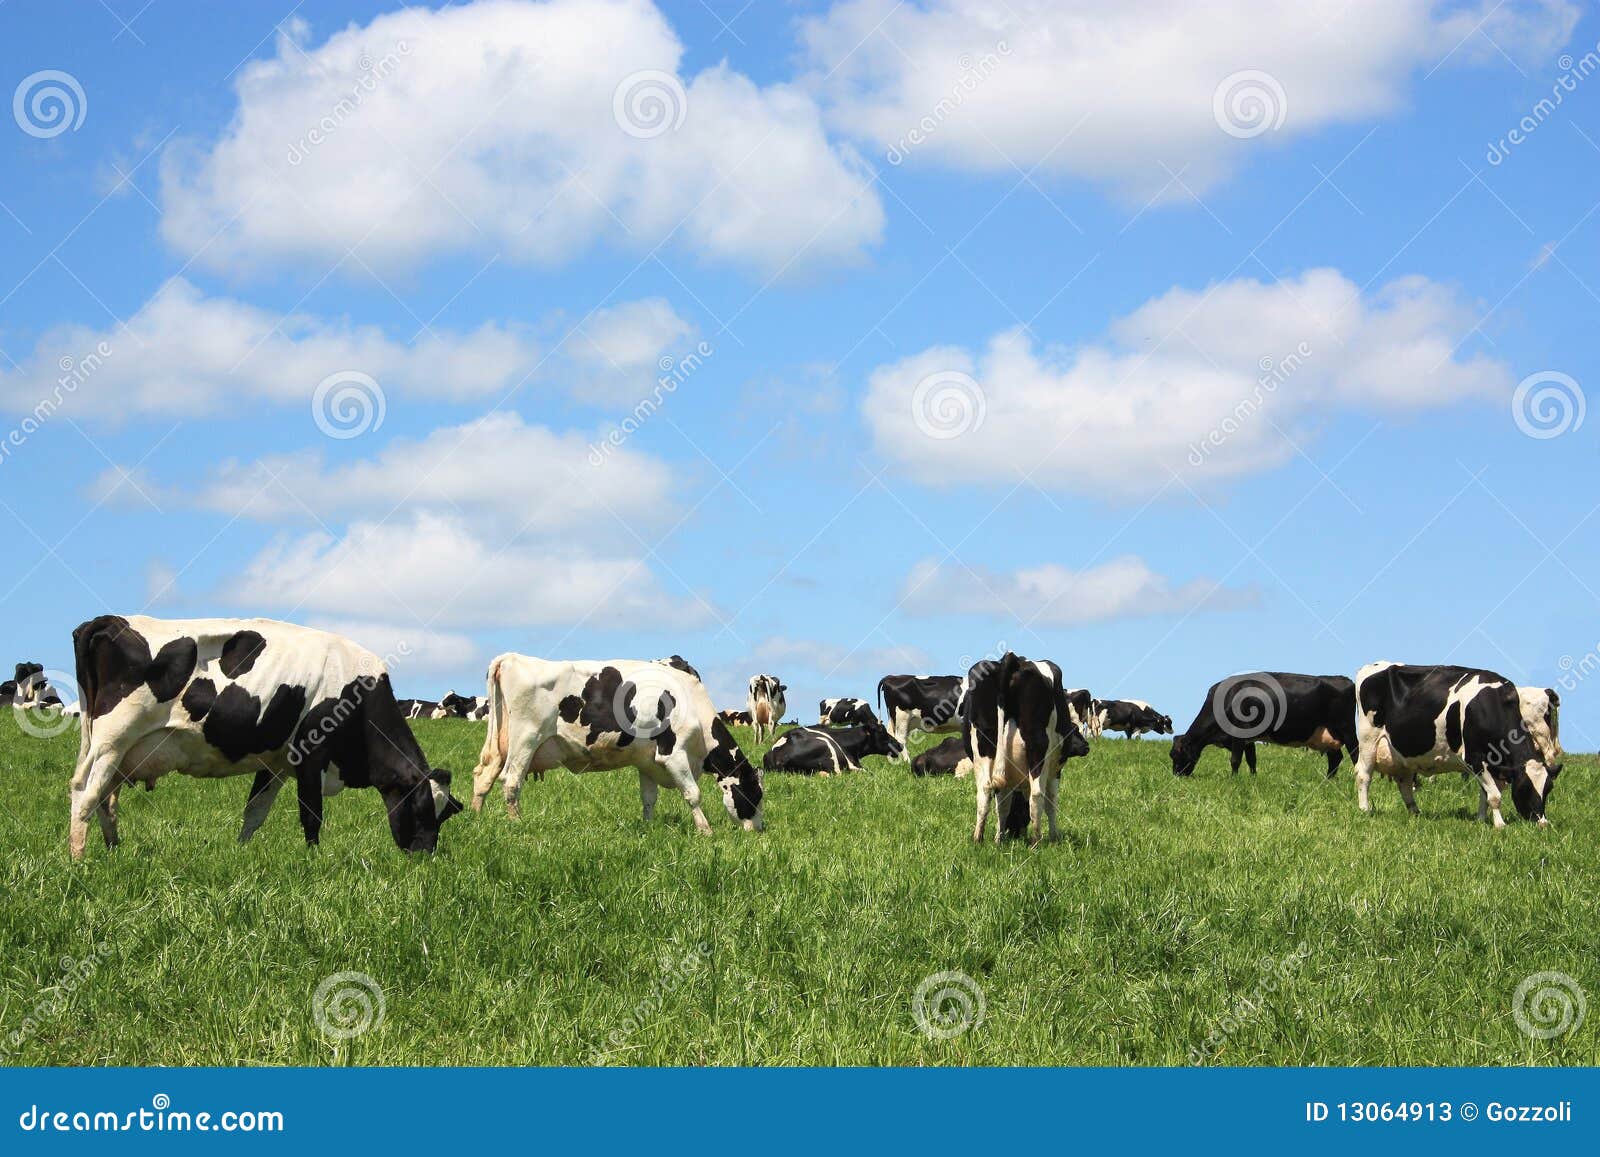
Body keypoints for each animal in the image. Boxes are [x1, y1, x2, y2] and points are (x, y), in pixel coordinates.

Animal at [67, 615, 463, 860]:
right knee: (84, 793)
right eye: (422, 809)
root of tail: (111, 620)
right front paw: (313, 861)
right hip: (113, 738)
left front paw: (240, 852)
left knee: (105, 800)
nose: (423, 857)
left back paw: (114, 850)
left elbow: (255, 812)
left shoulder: (277, 762)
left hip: (113, 749)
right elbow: (311, 814)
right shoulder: (311, 754)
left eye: (445, 815)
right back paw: (79, 860)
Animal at [472, 654, 764, 832]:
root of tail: (511, 657)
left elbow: (649, 798)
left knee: (483, 776)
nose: (760, 829)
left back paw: (476, 817)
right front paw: (705, 831)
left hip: (500, 744)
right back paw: (517, 823)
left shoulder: (647, 761)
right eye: (755, 795)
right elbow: (693, 794)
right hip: (526, 737)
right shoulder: (673, 754)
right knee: (511, 781)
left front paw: (648, 828)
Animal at [964, 653, 1090, 844]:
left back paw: (978, 838)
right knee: (1037, 793)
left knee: (984, 789)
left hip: (984, 746)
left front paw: (998, 838)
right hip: (1038, 748)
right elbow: (1051, 802)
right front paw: (1054, 838)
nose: (1016, 833)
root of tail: (1012, 659)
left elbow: (1002, 804)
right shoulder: (1055, 771)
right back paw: (1036, 841)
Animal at [1170, 673, 1357, 779]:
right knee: (1335, 758)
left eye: (1176, 754)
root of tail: (1344, 679)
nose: (1176, 776)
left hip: (1346, 728)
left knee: (1355, 753)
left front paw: (1233, 780)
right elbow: (1251, 760)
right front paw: (1253, 779)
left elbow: (1235, 760)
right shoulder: (1248, 739)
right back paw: (1328, 781)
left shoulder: (1239, 733)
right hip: (1328, 734)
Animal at [1351, 662, 1561, 828]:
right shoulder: (1475, 758)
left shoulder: (1493, 762)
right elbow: (1494, 796)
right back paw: (1364, 809)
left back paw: (1415, 812)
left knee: (1404, 782)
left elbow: (1485, 794)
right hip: (1368, 740)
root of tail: (1373, 665)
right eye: (1524, 788)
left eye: (1548, 788)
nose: (1542, 823)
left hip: (1404, 753)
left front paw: (1481, 819)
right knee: (1363, 775)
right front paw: (1500, 825)